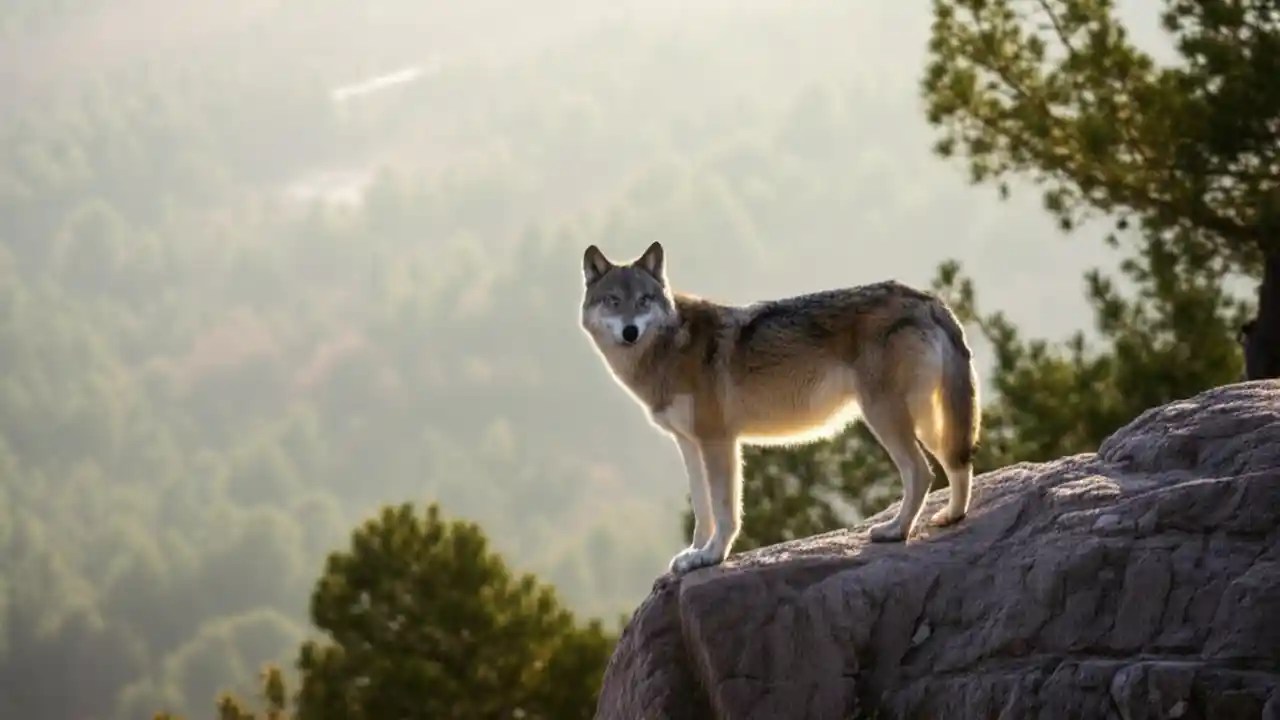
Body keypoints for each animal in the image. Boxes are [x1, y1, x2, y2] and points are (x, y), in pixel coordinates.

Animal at [579, 241, 980, 574]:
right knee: (957, 463)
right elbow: (702, 510)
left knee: (922, 473)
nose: (630, 332)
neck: (670, 348)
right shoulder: (689, 445)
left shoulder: (718, 441)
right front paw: (694, 553)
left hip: (885, 417)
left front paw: (712, 556)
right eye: (613, 300)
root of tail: (926, 298)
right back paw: (951, 517)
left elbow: (724, 510)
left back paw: (896, 530)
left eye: (644, 300)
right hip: (926, 421)